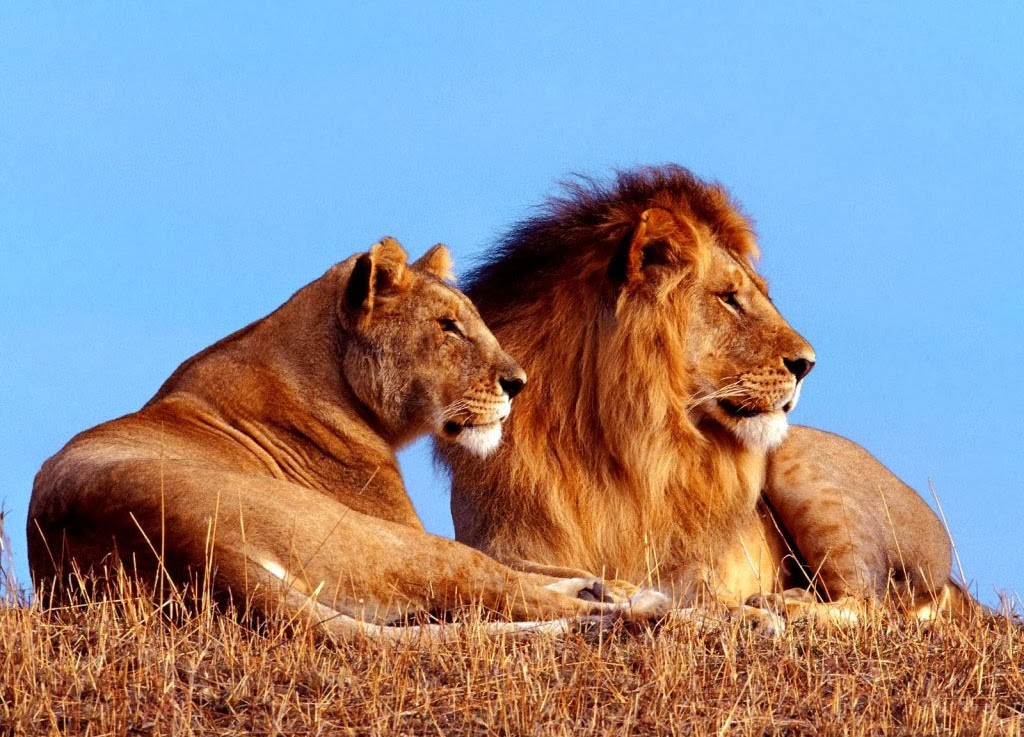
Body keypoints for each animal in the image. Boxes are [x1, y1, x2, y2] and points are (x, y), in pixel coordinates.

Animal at [28, 237, 669, 639]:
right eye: (448, 327)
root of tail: (188, 548)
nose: (519, 383)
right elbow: (512, 569)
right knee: (493, 588)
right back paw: (637, 605)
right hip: (384, 541)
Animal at [438, 166, 973, 624]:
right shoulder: (496, 541)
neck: (611, 440)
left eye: (760, 293)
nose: (807, 363)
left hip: (800, 461)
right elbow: (518, 572)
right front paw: (601, 590)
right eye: (729, 298)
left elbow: (694, 591)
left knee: (870, 604)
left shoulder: (690, 563)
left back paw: (783, 605)